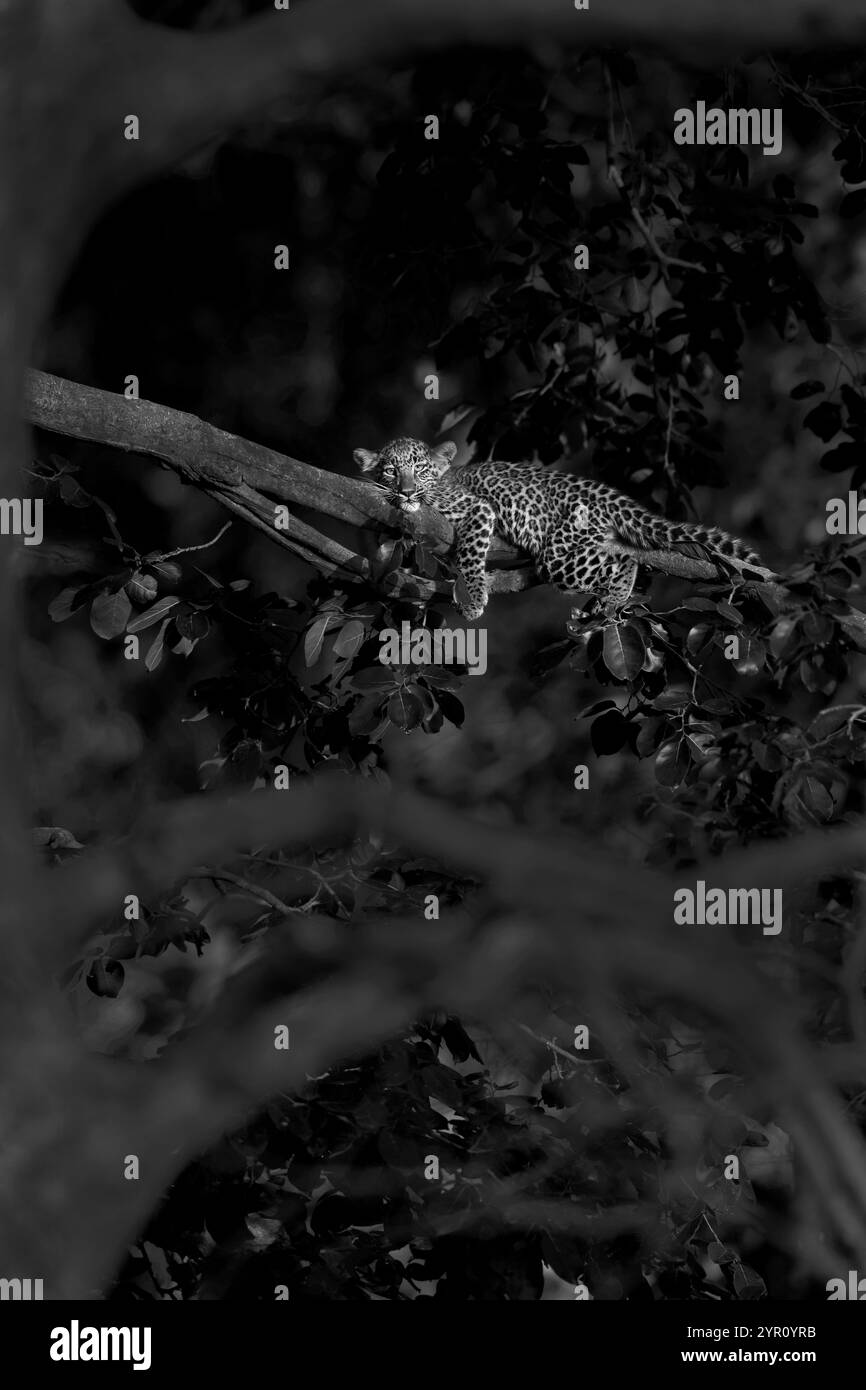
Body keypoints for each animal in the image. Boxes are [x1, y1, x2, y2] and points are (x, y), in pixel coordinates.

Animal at [354, 436, 766, 622]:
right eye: (390, 471)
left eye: (421, 470)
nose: (407, 491)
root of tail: (601, 491)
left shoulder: (476, 509)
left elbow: (469, 554)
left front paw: (473, 598)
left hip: (560, 552)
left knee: (623, 559)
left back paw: (616, 596)